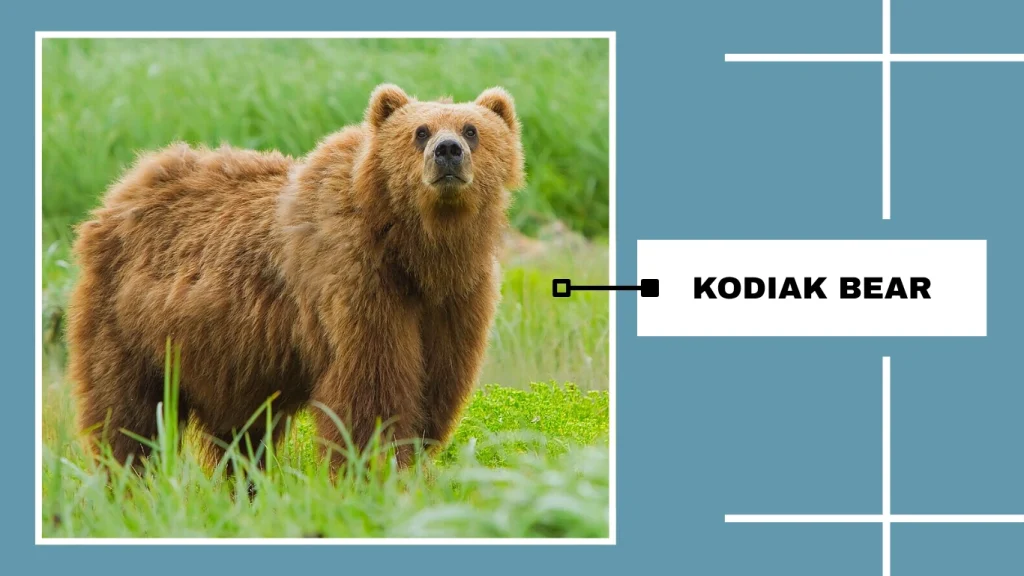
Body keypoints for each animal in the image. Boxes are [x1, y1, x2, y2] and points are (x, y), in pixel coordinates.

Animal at [65, 84, 525, 472]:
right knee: (128, 415)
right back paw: (128, 481)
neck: (417, 252)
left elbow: (435, 389)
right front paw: (372, 468)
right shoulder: (357, 282)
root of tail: (123, 188)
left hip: (227, 358)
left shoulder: (456, 301)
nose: (447, 151)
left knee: (241, 436)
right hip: (129, 324)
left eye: (472, 129)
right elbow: (371, 392)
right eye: (420, 131)